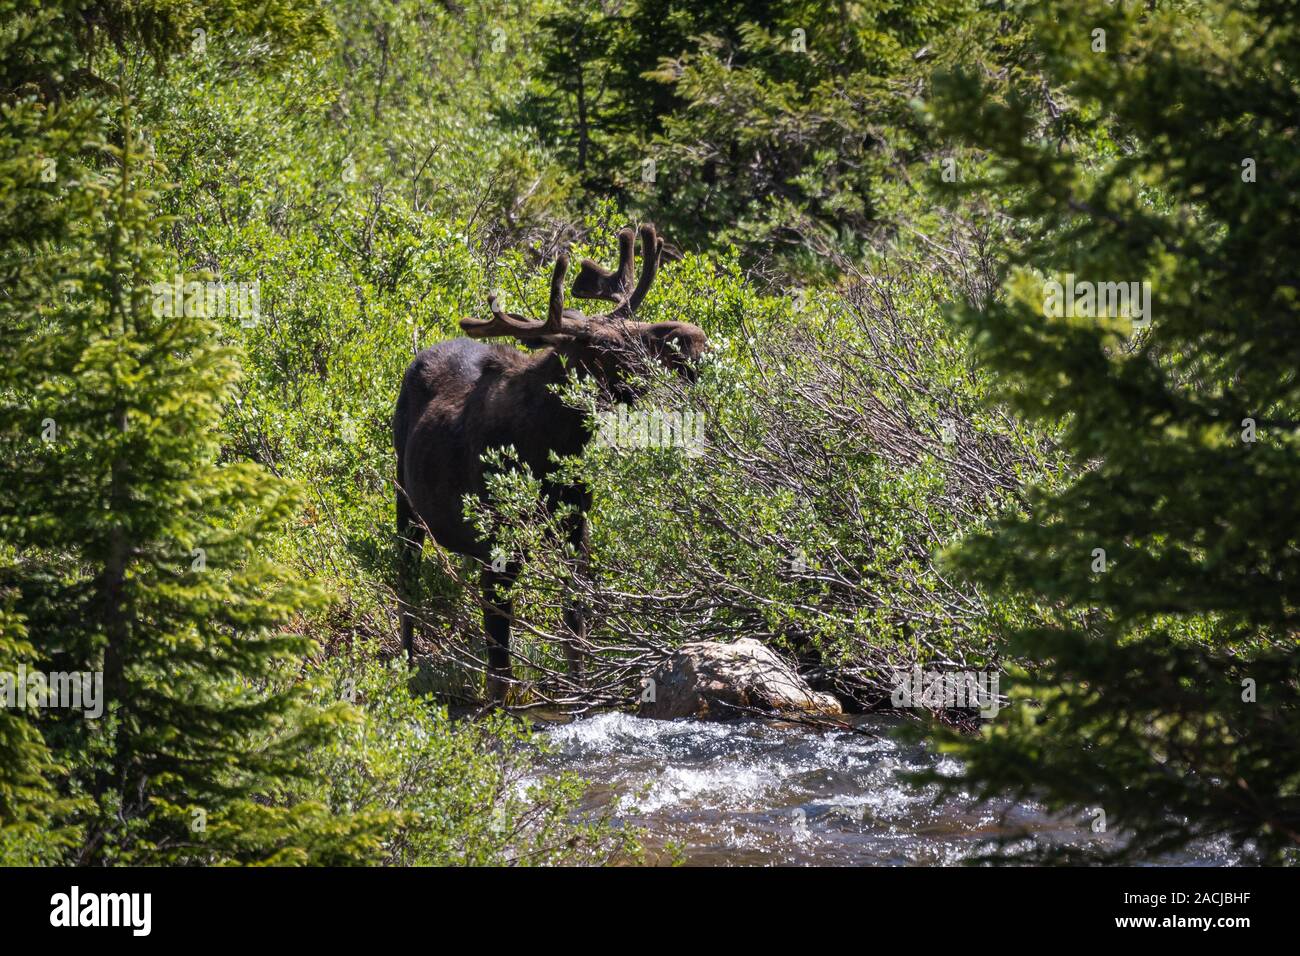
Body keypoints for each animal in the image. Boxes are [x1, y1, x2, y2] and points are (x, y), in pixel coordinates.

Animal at [393, 224, 707, 702]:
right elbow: (500, 659)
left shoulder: (576, 527)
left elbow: (575, 626)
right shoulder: (498, 544)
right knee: (405, 590)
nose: (694, 339)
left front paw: (582, 691)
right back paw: (407, 665)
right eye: (608, 345)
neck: (556, 443)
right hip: (405, 501)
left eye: (635, 325)